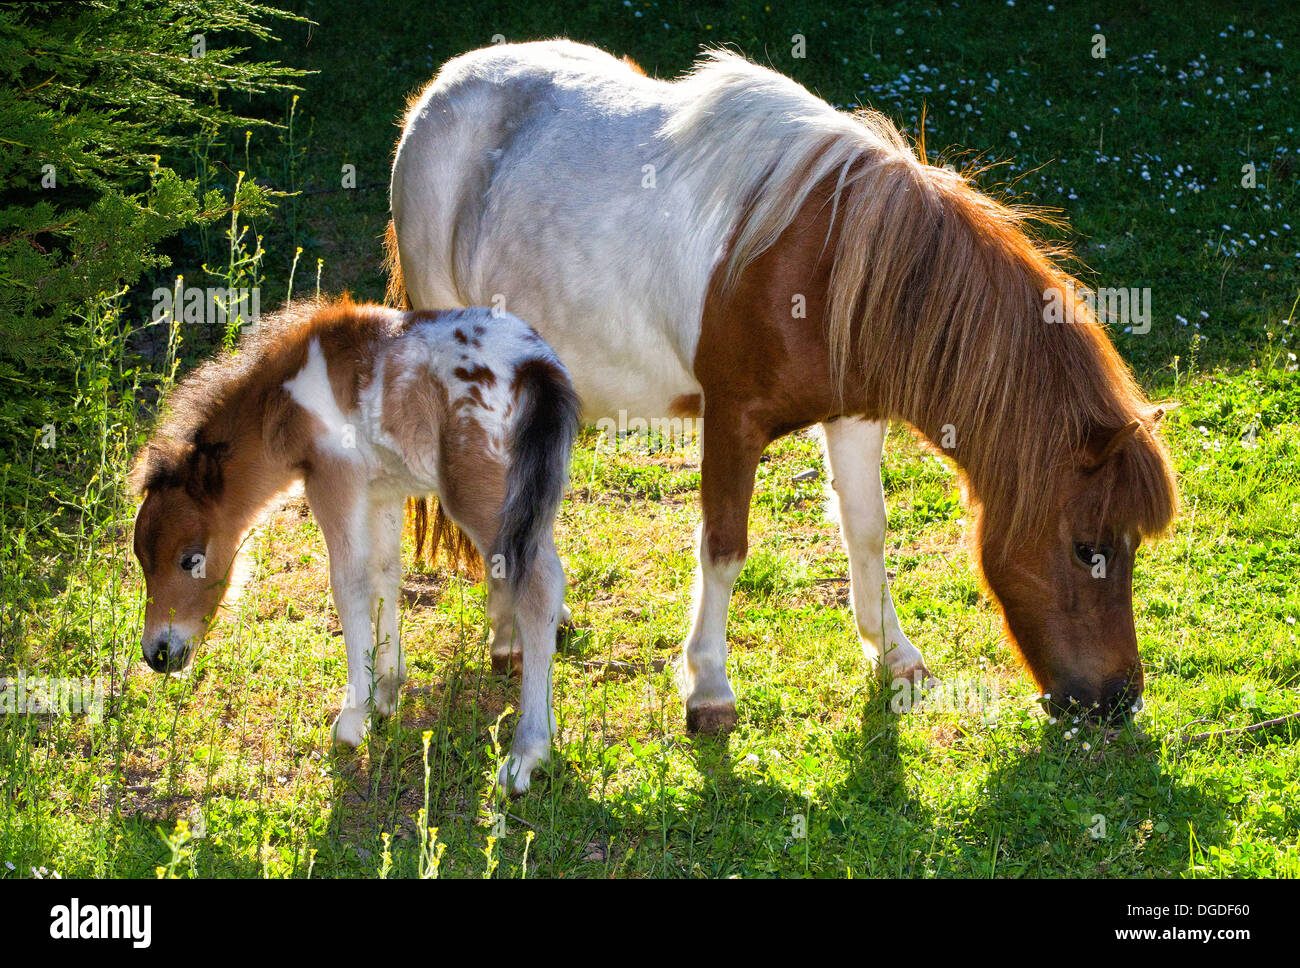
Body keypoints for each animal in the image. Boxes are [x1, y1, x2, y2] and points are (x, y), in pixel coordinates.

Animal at [130, 298, 579, 792]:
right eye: (142, 562)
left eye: (191, 559)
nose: (159, 654)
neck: (283, 403)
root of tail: (535, 365)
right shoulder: (380, 491)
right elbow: (383, 576)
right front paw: (385, 689)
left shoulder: (333, 482)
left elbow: (349, 586)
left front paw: (351, 718)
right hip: (534, 500)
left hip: (482, 498)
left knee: (538, 589)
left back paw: (526, 752)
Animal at [388, 40, 1179, 732]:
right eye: (1087, 548)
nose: (1117, 701)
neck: (828, 266)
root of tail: (444, 89)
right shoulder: (732, 422)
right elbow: (724, 546)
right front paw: (707, 687)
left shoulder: (856, 415)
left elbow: (868, 530)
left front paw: (895, 656)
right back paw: (511, 636)